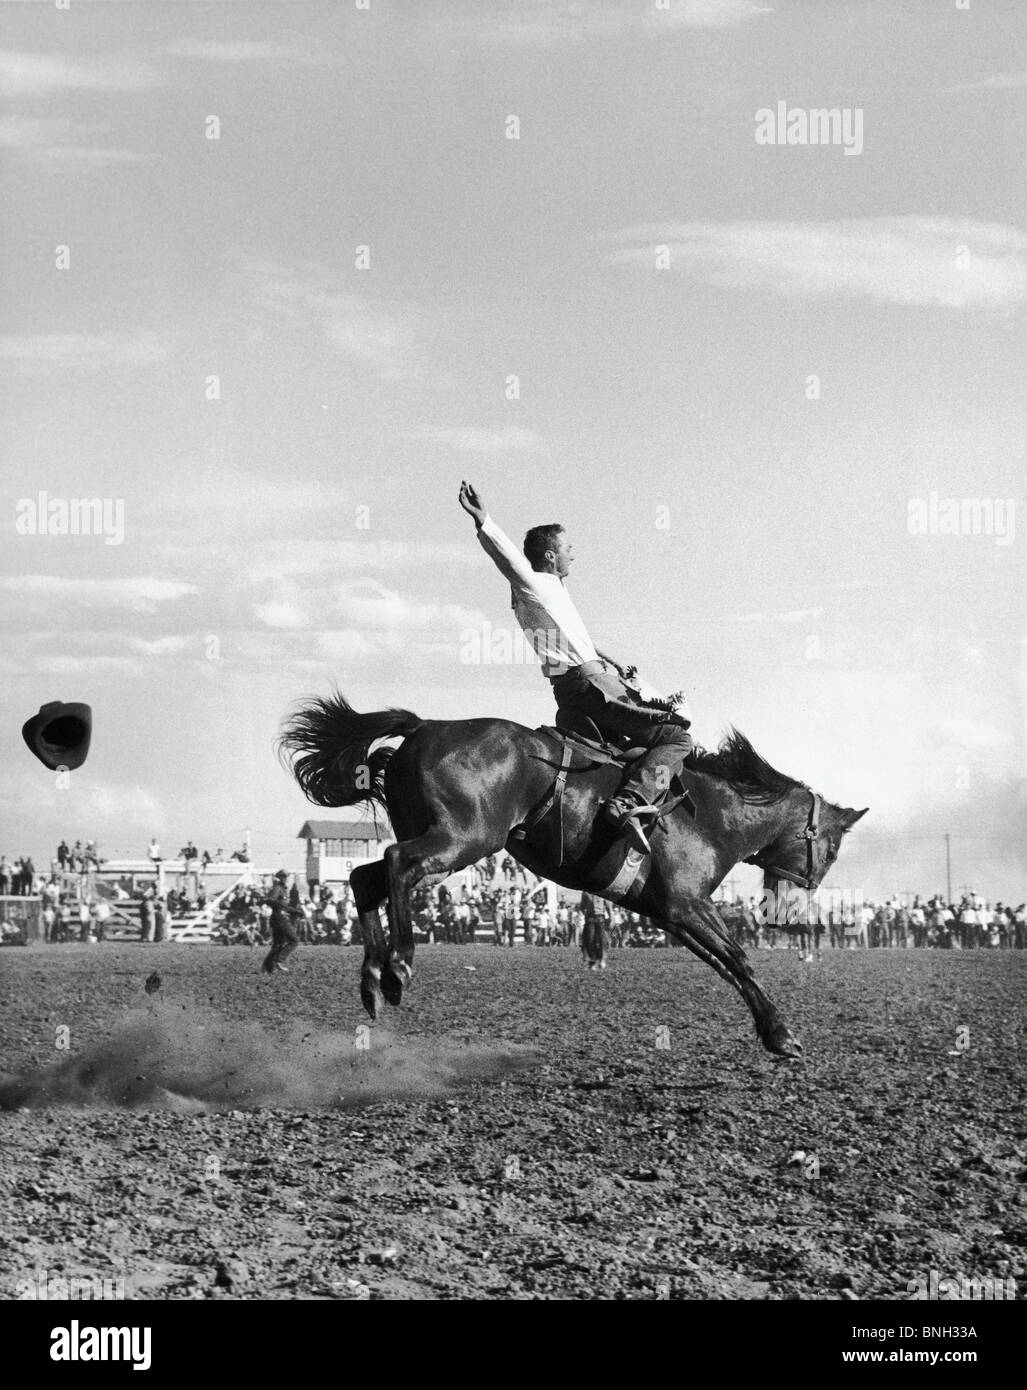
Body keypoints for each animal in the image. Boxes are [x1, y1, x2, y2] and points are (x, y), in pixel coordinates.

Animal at [278, 693, 867, 1058]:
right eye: (834, 846)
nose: (797, 903)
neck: (709, 812)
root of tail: (426, 727)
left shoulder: (669, 916)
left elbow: (727, 965)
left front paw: (772, 1032)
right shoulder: (686, 905)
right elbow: (739, 957)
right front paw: (783, 1035)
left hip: (440, 837)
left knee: (365, 877)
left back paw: (372, 980)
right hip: (464, 838)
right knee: (398, 863)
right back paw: (398, 966)